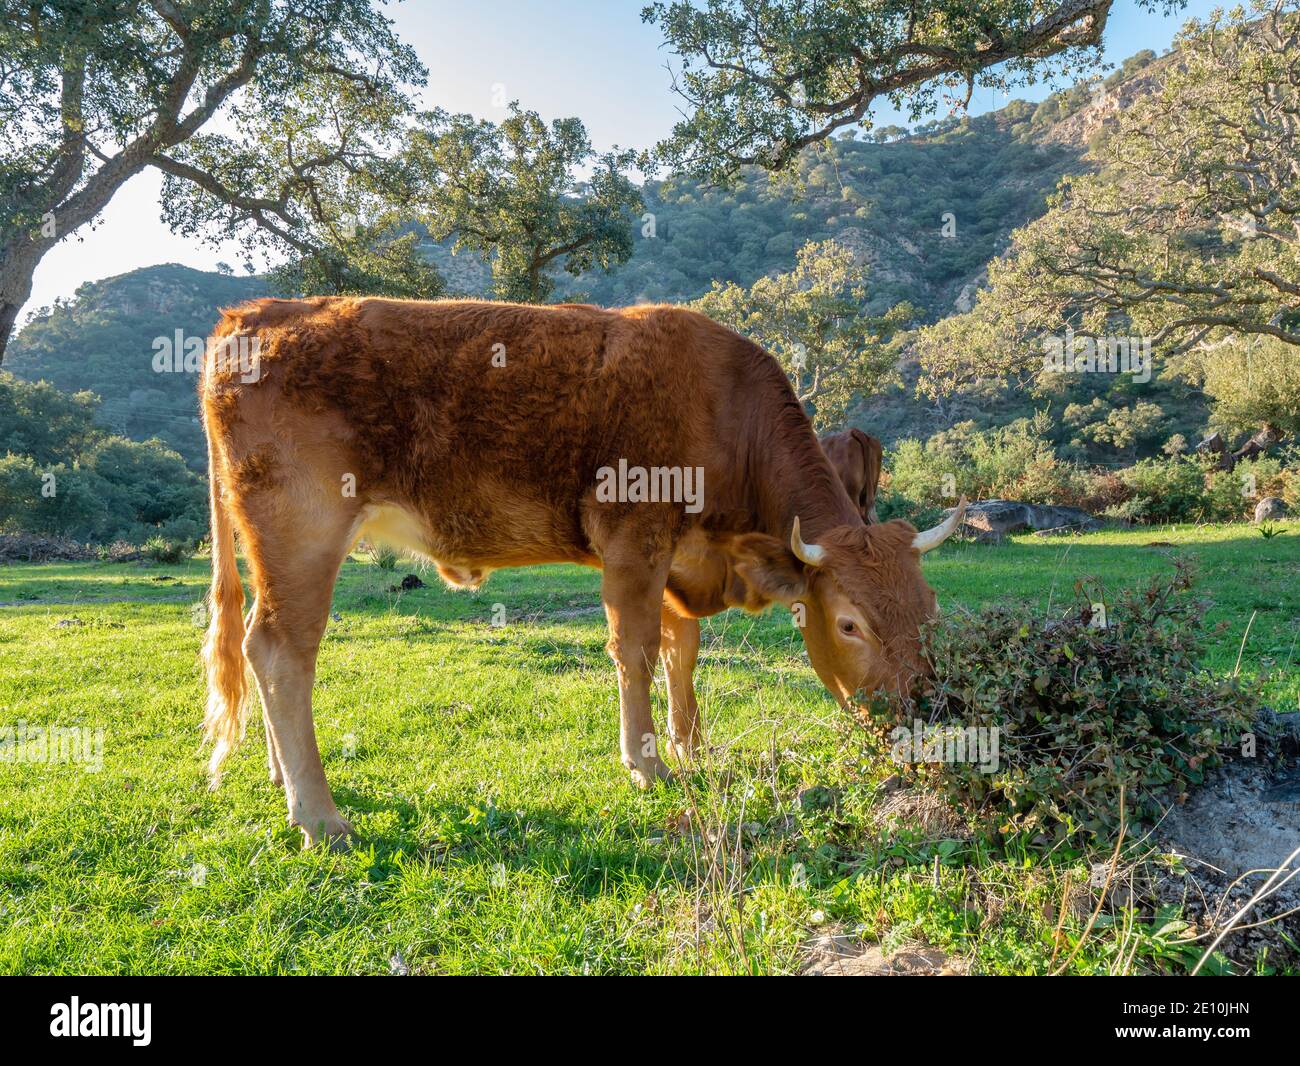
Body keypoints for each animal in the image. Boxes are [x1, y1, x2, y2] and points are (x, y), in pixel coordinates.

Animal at [199, 297, 966, 847]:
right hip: (304, 531)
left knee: (259, 648)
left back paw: (281, 778)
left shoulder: (678, 559)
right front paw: (646, 763)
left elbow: (681, 653)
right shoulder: (634, 538)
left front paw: (689, 746)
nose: (925, 713)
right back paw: (318, 815)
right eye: (849, 623)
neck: (725, 410)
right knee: (282, 650)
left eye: (930, 608)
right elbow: (636, 649)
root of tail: (251, 315)